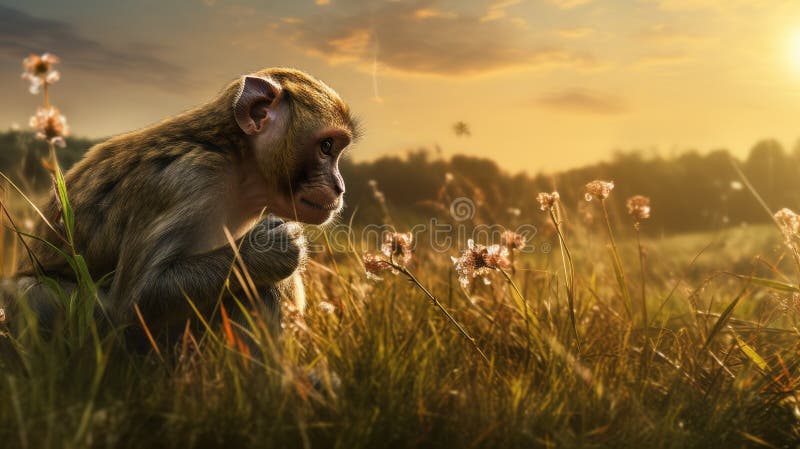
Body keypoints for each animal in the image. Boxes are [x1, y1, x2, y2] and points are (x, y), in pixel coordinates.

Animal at [6, 68, 357, 344]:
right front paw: (266, 250)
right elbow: (135, 300)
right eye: (326, 146)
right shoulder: (188, 180)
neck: (237, 161)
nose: (340, 187)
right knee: (33, 293)